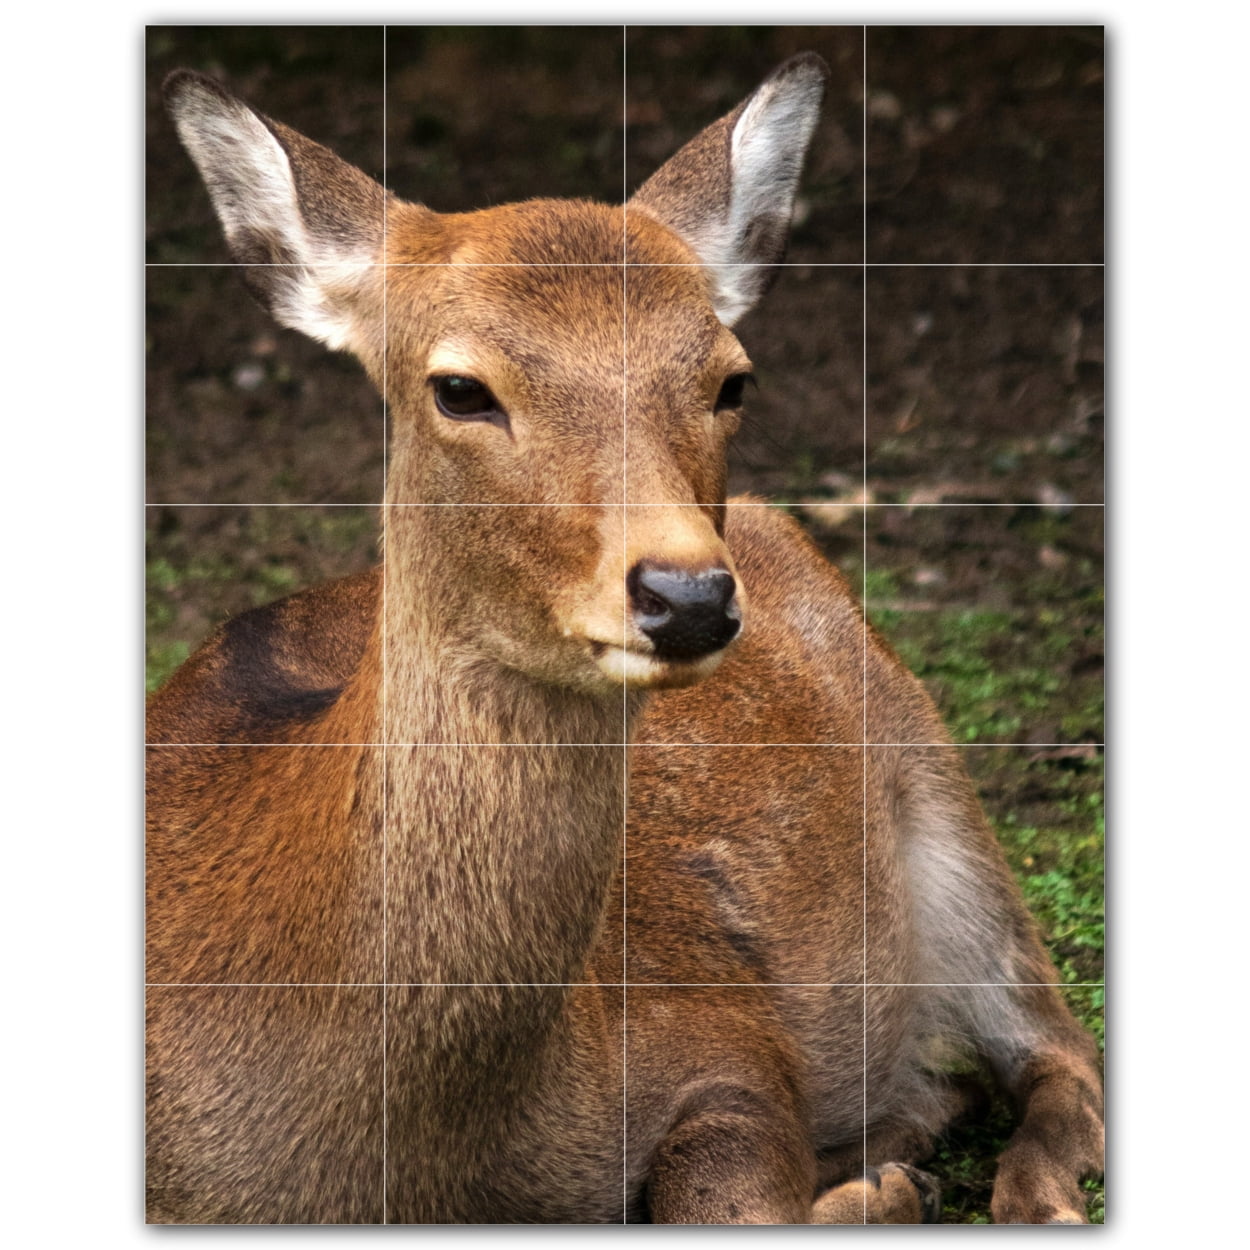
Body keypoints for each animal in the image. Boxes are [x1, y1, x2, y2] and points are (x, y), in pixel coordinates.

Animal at [147, 55, 1104, 1224]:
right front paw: (880, 1181)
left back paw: (1021, 1192)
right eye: (458, 387)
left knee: (1059, 1049)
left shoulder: (713, 1023)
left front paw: (873, 1191)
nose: (688, 594)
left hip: (943, 796)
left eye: (731, 378)